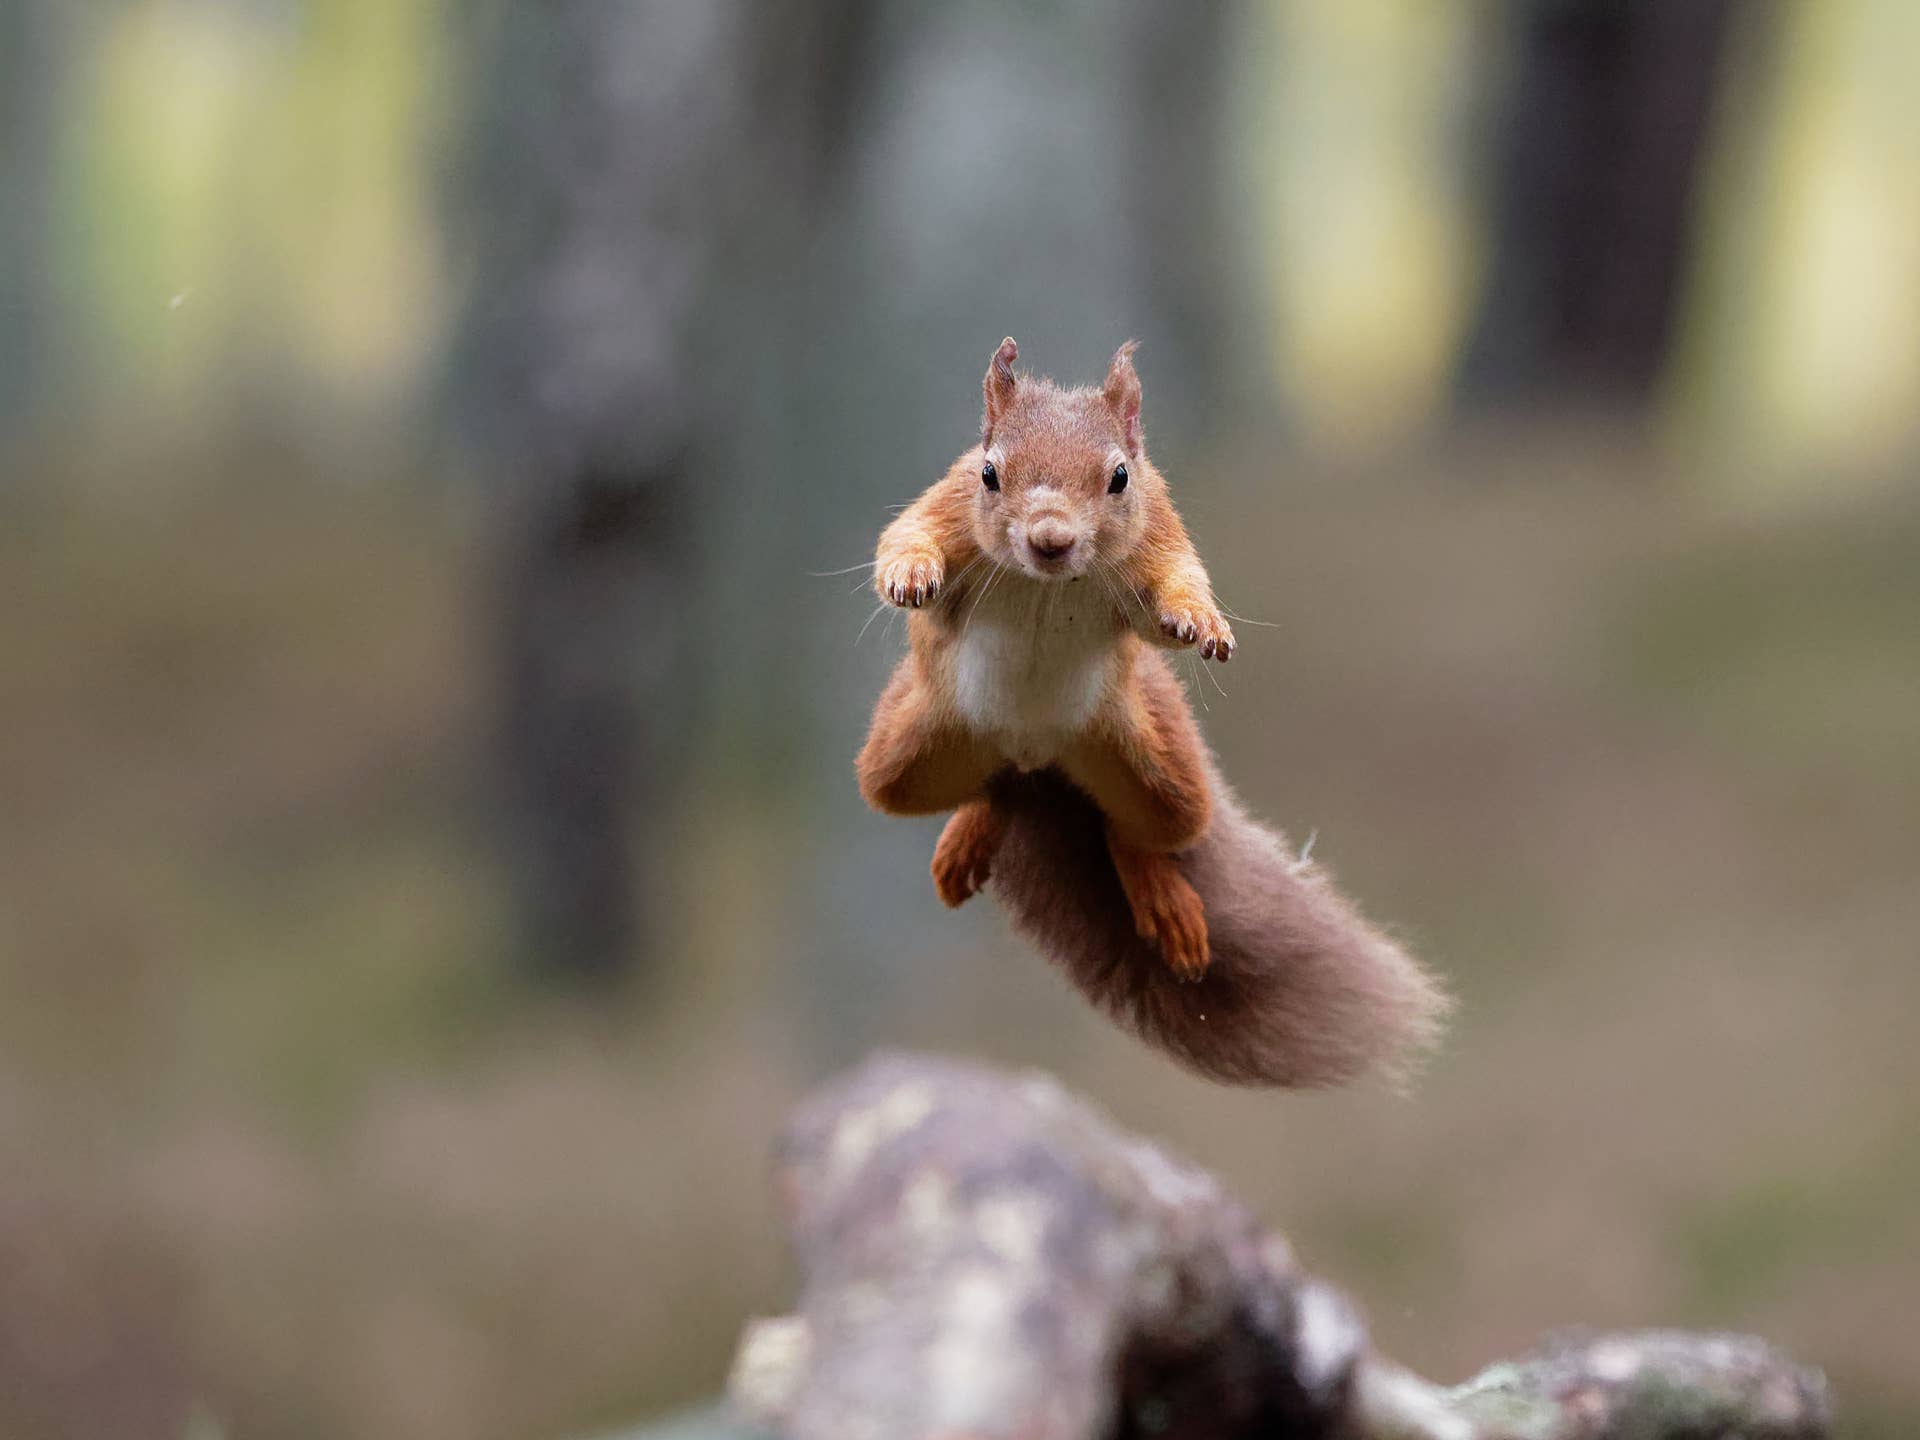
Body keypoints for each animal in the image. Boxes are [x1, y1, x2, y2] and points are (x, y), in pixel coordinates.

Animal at [856, 338, 1447, 1087]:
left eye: (1120, 478)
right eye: (989, 473)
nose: (1050, 540)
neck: (1048, 584)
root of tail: (1035, 762)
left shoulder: (1156, 529)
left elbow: (1180, 580)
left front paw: (1202, 621)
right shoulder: (949, 507)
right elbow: (905, 534)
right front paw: (909, 574)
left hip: (1155, 763)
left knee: (1137, 830)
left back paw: (1161, 896)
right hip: (905, 756)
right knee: (974, 790)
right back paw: (975, 827)